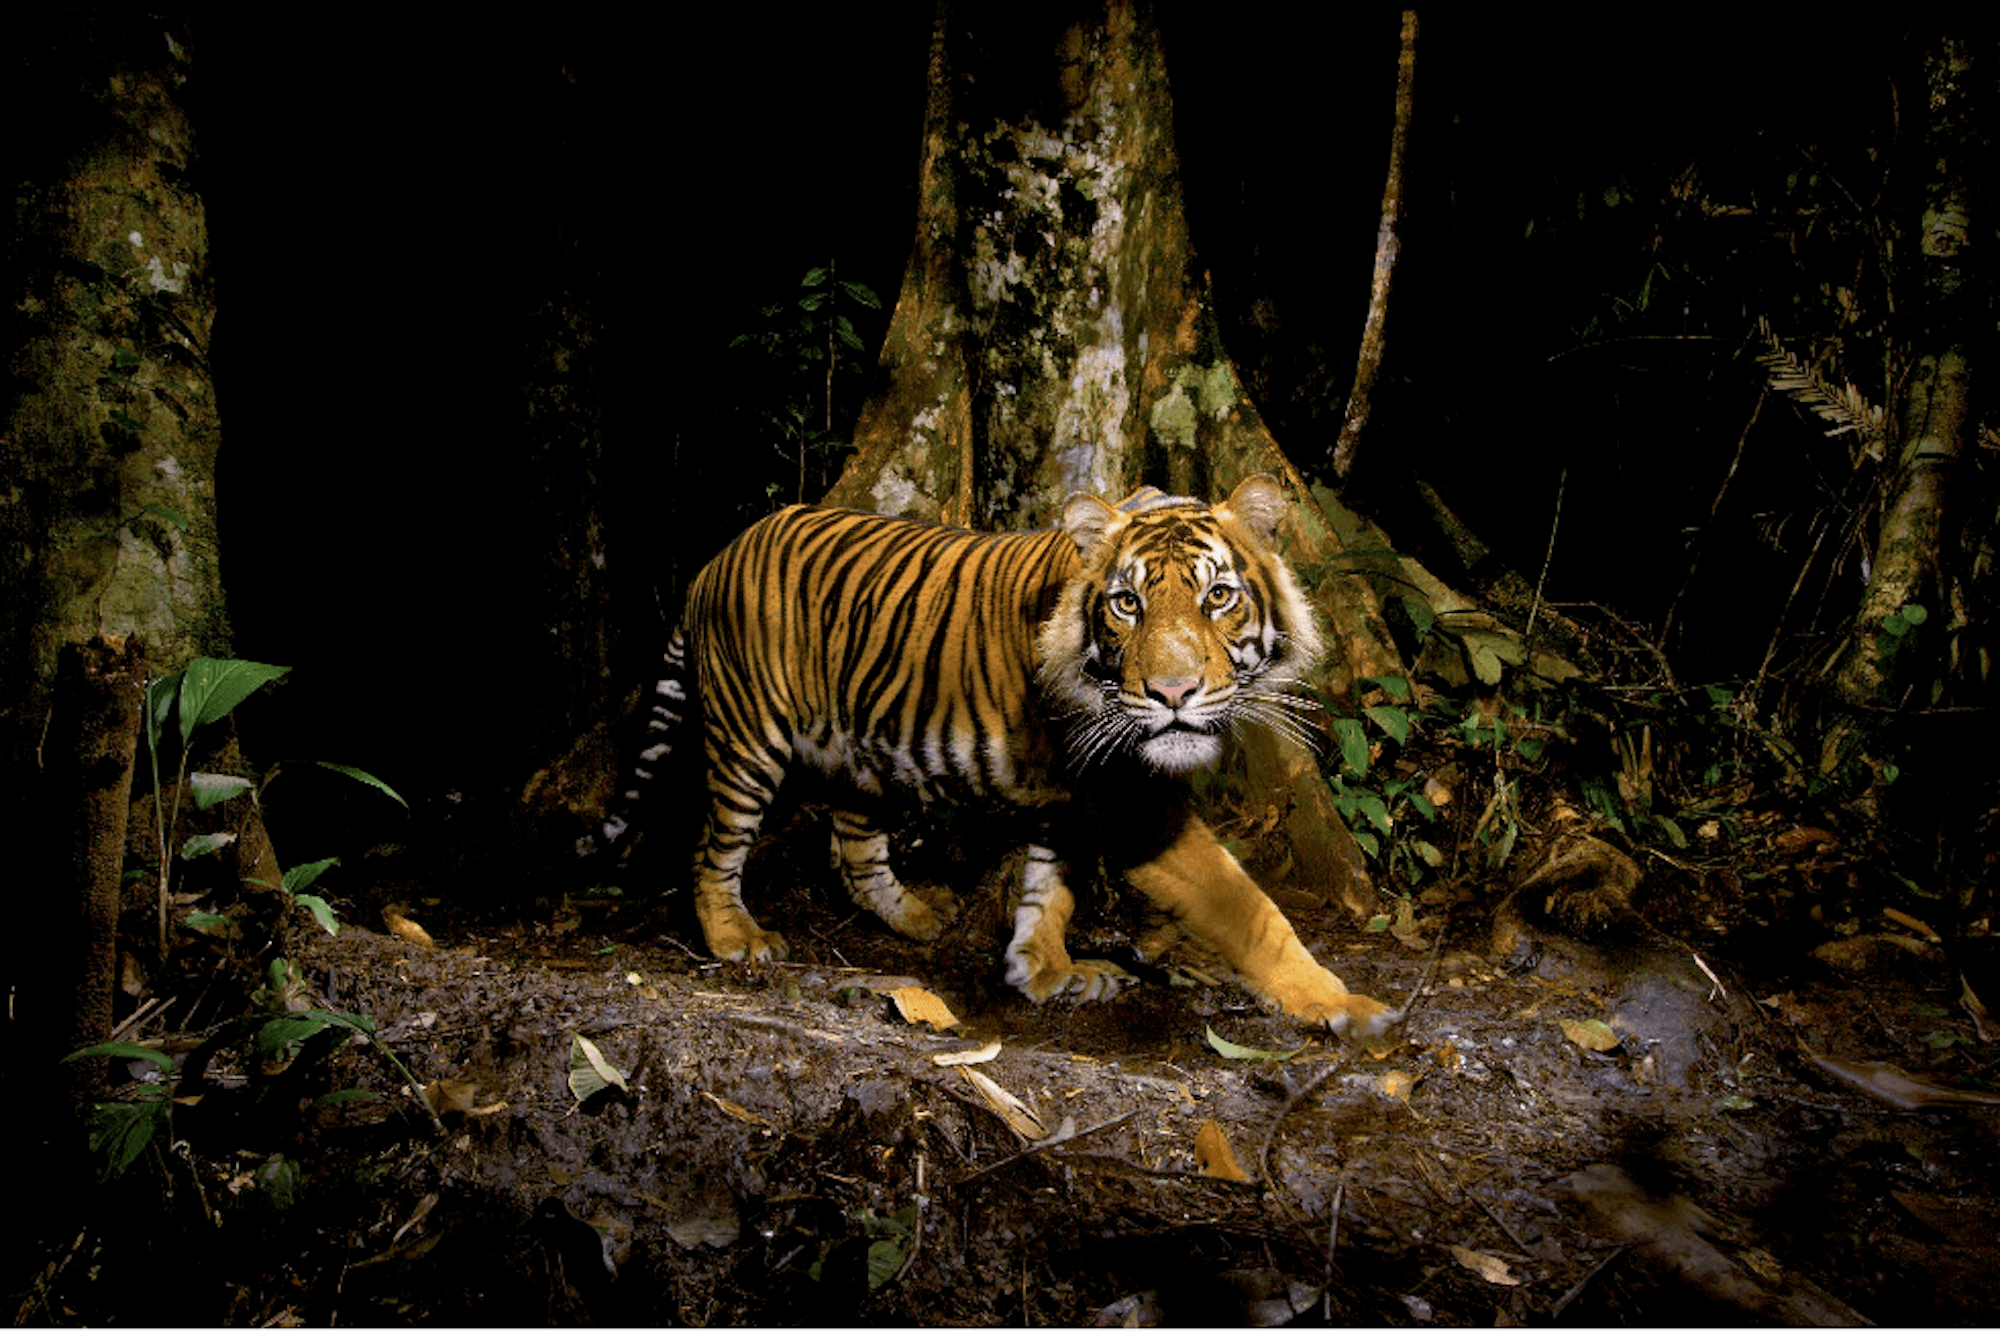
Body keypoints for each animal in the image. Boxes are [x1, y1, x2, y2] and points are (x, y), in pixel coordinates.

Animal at [602, 473, 1395, 1037]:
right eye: (1127, 604)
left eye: (1220, 596)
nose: (1172, 692)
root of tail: (713, 561)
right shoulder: (1131, 802)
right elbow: (1248, 908)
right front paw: (1345, 1004)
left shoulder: (1074, 798)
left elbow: (1049, 891)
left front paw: (1042, 971)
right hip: (748, 738)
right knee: (713, 847)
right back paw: (736, 937)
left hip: (862, 753)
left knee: (854, 852)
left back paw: (919, 916)